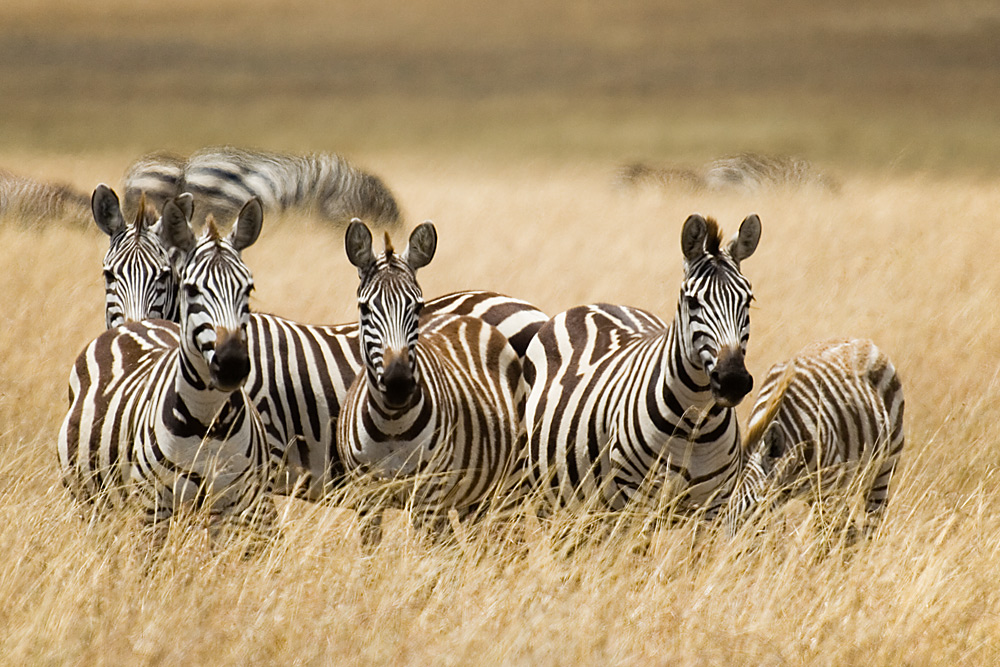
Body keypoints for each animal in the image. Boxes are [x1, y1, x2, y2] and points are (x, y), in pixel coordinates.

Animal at [58, 195, 277, 543]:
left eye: (249, 289)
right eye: (191, 289)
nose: (231, 364)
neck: (207, 421)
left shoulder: (233, 506)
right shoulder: (153, 509)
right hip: (93, 503)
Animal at [338, 220, 527, 547]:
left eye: (417, 307)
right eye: (364, 309)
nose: (398, 384)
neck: (391, 424)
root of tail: (466, 319)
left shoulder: (428, 496)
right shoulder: (365, 497)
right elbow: (371, 553)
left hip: (508, 480)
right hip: (470, 495)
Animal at [524, 213, 761, 521]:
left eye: (748, 300)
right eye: (692, 301)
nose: (733, 380)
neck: (695, 424)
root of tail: (594, 305)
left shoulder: (713, 504)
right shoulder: (637, 497)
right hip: (551, 493)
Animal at [722, 338, 905, 537]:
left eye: (757, 506)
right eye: (722, 515)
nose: (736, 545)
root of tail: (863, 341)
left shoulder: (828, 485)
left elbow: (833, 534)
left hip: (883, 468)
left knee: (869, 524)